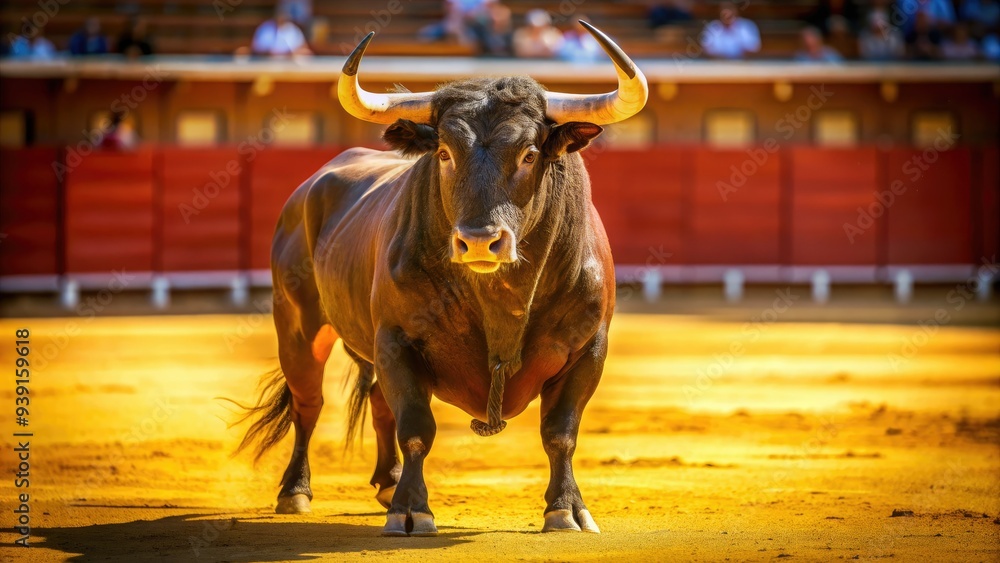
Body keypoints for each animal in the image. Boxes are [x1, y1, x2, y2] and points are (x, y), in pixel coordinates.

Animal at [234, 22, 648, 537]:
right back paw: (296, 491)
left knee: (376, 400)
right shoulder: (397, 339)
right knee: (308, 403)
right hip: (297, 324)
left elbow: (560, 433)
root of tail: (310, 188)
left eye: (530, 154)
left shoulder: (588, 348)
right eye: (446, 153)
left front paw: (566, 509)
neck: (501, 301)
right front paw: (412, 511)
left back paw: (387, 482)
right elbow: (416, 427)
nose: (479, 242)